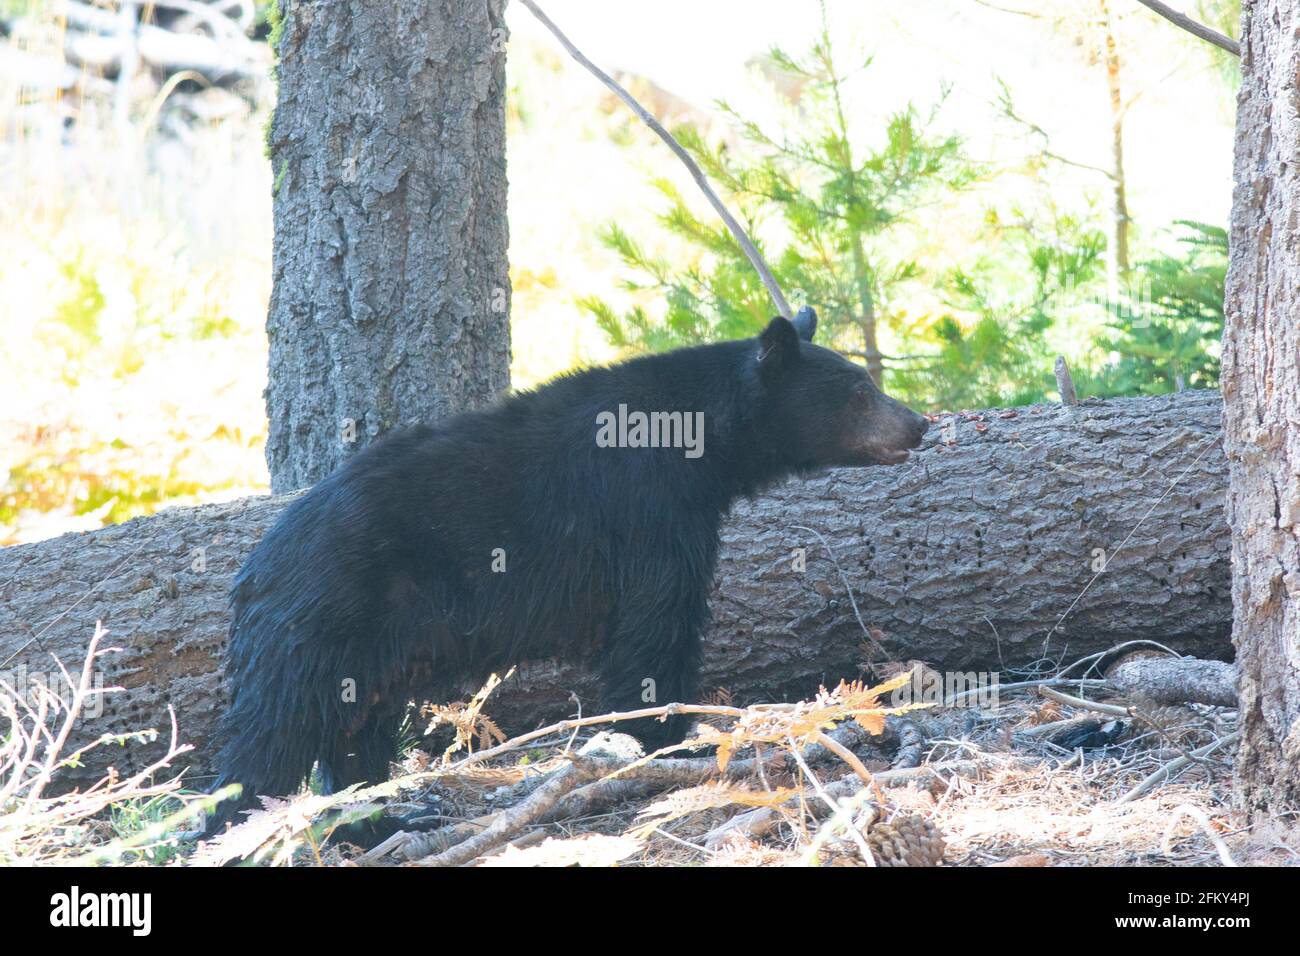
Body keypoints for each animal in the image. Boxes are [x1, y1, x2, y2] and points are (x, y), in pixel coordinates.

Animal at [208, 308, 928, 829]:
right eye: (860, 392)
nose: (918, 423)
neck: (701, 440)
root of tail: (253, 569)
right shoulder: (648, 511)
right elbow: (655, 627)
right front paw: (671, 738)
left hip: (366, 654)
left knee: (356, 735)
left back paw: (376, 818)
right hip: (322, 618)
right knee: (270, 737)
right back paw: (237, 823)